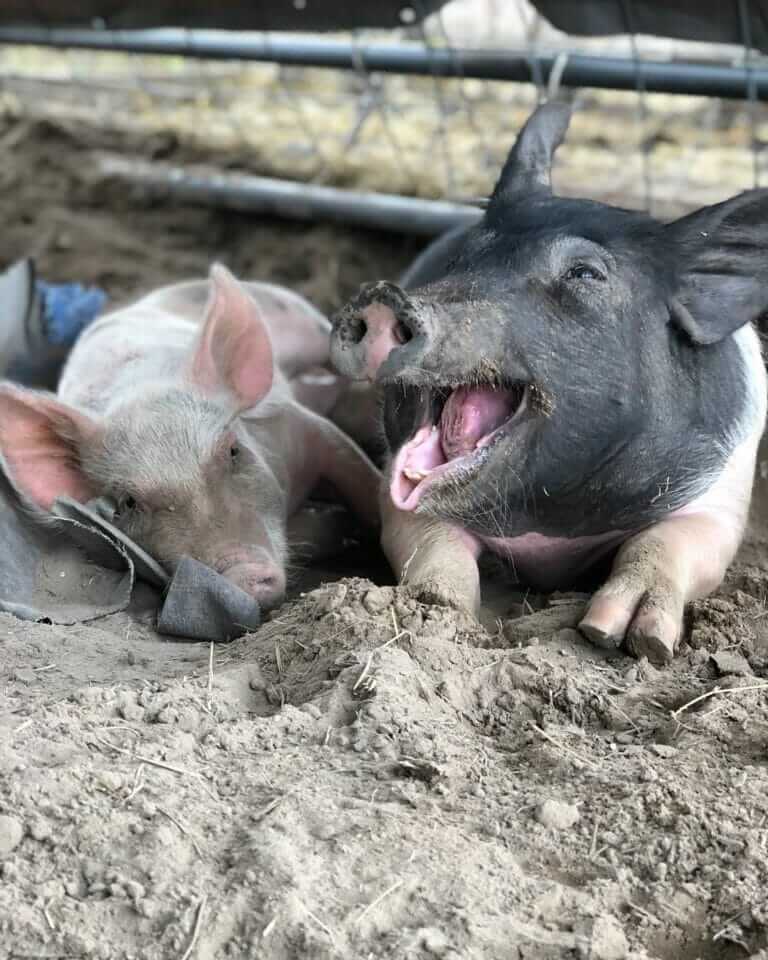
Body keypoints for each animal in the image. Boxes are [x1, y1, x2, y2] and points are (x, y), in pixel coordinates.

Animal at [330, 101, 768, 665]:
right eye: (462, 258)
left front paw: (619, 636)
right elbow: (432, 543)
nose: (384, 300)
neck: (548, 530)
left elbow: (665, 543)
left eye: (584, 274)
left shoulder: (720, 496)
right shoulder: (396, 486)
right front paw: (431, 607)